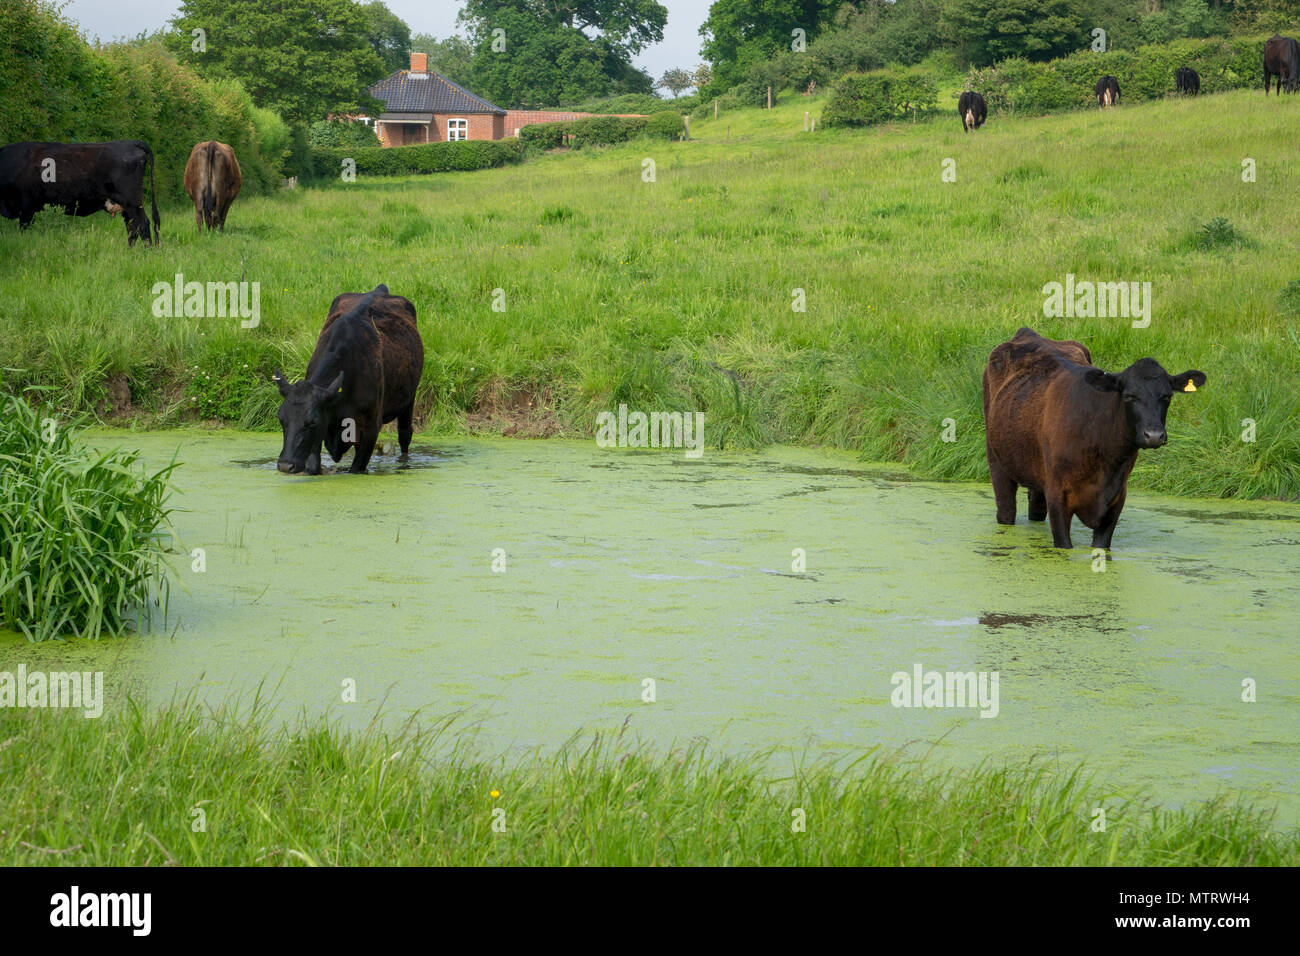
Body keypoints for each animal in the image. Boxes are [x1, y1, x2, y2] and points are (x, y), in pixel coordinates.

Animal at [0, 140, 159, 245]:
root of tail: (131, 142)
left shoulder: (27, 209)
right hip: (125, 205)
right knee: (132, 227)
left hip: (131, 201)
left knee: (142, 223)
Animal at [273, 285, 424, 476]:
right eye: (280, 418)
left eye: (313, 421)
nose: (285, 465)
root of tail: (380, 289)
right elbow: (313, 466)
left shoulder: (370, 429)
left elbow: (356, 469)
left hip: (409, 398)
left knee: (405, 434)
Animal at [982, 328, 1205, 549]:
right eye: (1129, 396)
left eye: (1167, 396)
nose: (1153, 435)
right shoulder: (1057, 497)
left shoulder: (1116, 500)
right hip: (997, 462)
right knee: (1006, 511)